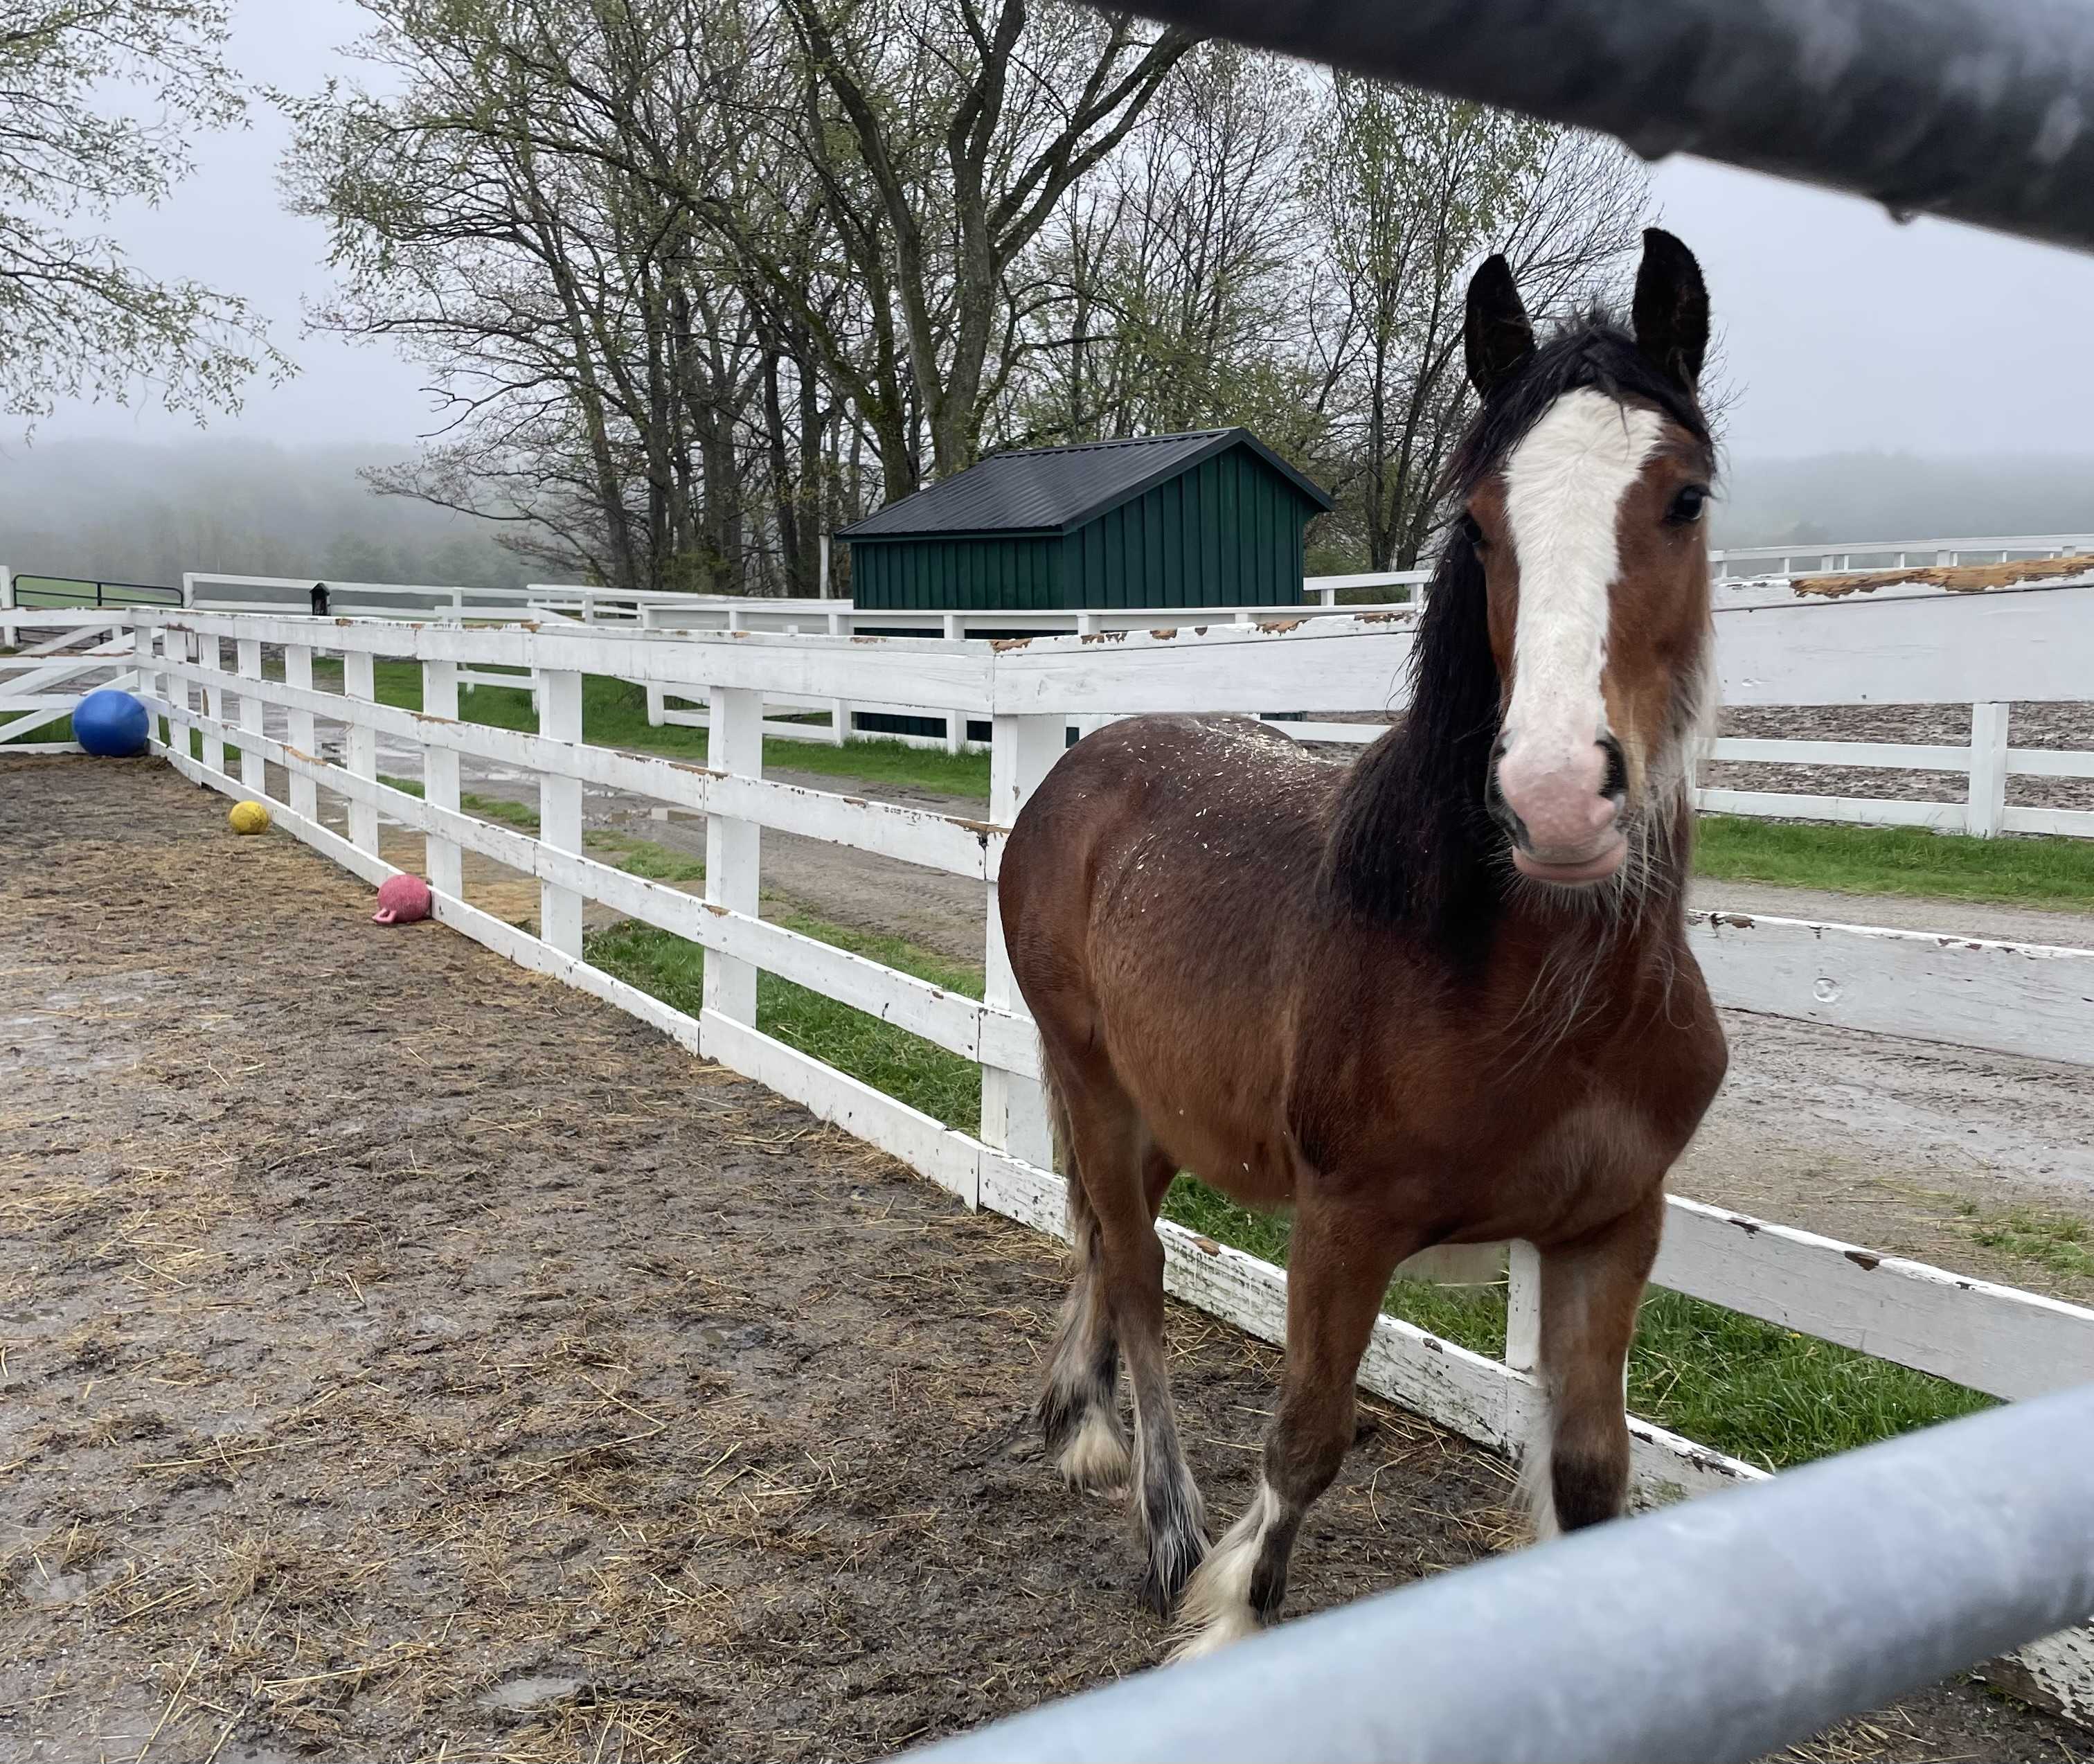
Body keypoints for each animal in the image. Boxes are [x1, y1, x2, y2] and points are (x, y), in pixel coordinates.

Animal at [997, 228, 1730, 1660]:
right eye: (1480, 520)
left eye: (1680, 498)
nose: (1555, 797)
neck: (1534, 991)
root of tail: (1080, 768)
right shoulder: (1340, 1228)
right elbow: (1306, 1438)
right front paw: (1230, 1612)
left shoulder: (1610, 1226)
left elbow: (1589, 1474)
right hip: (1093, 1083)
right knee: (1139, 1273)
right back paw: (1161, 1522)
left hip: (1155, 1110)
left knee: (1103, 1244)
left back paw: (1077, 1420)